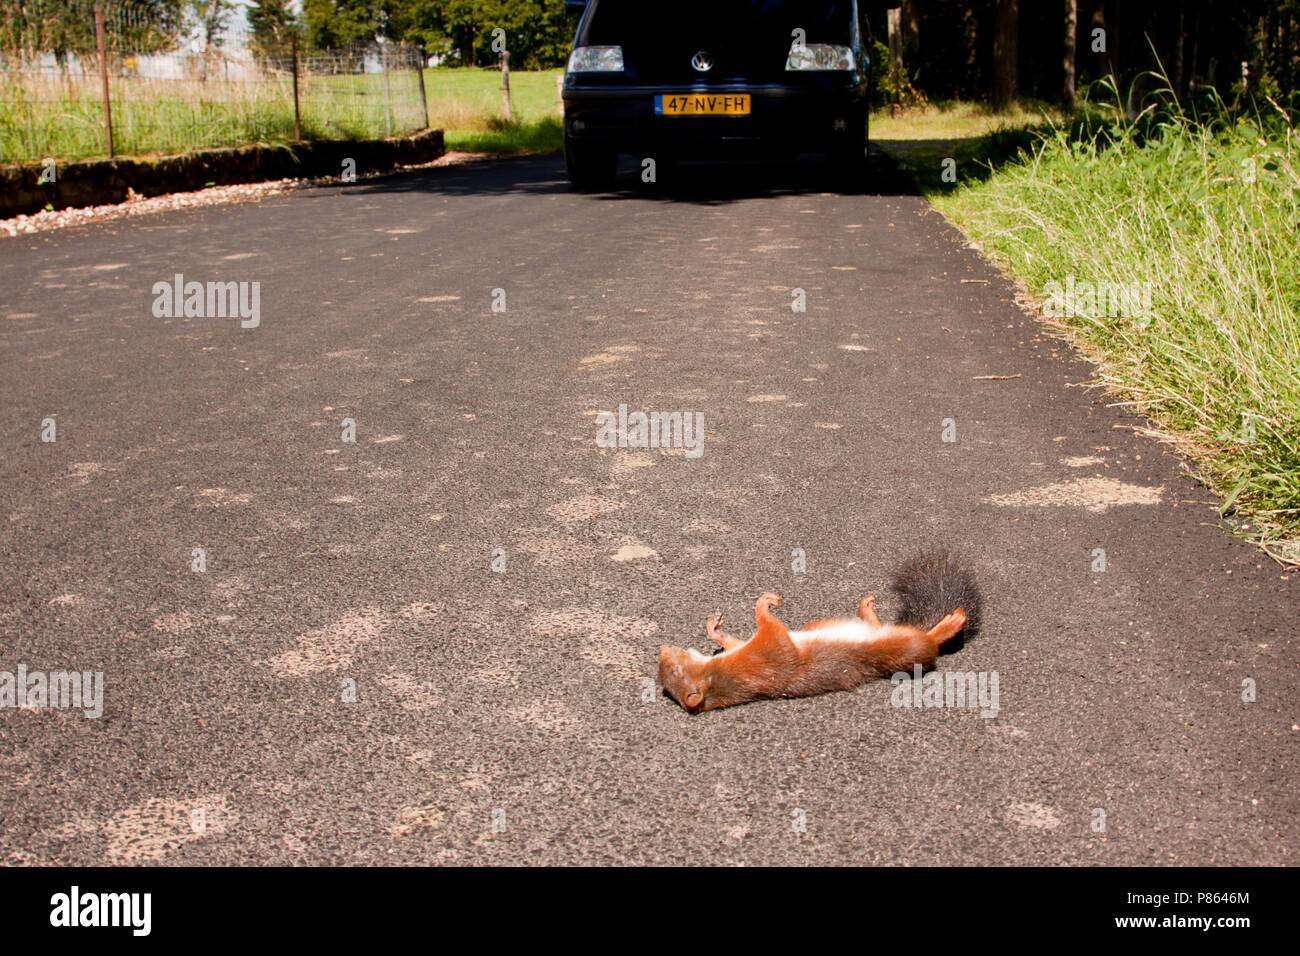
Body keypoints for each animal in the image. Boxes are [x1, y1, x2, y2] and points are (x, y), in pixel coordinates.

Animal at [658, 552, 983, 713]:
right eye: (673, 670)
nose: (662, 649)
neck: (717, 673)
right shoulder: (763, 661)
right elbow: (777, 639)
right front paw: (764, 605)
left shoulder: (745, 650)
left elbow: (732, 639)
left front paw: (714, 626)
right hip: (908, 646)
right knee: (931, 641)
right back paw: (953, 621)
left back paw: (867, 606)